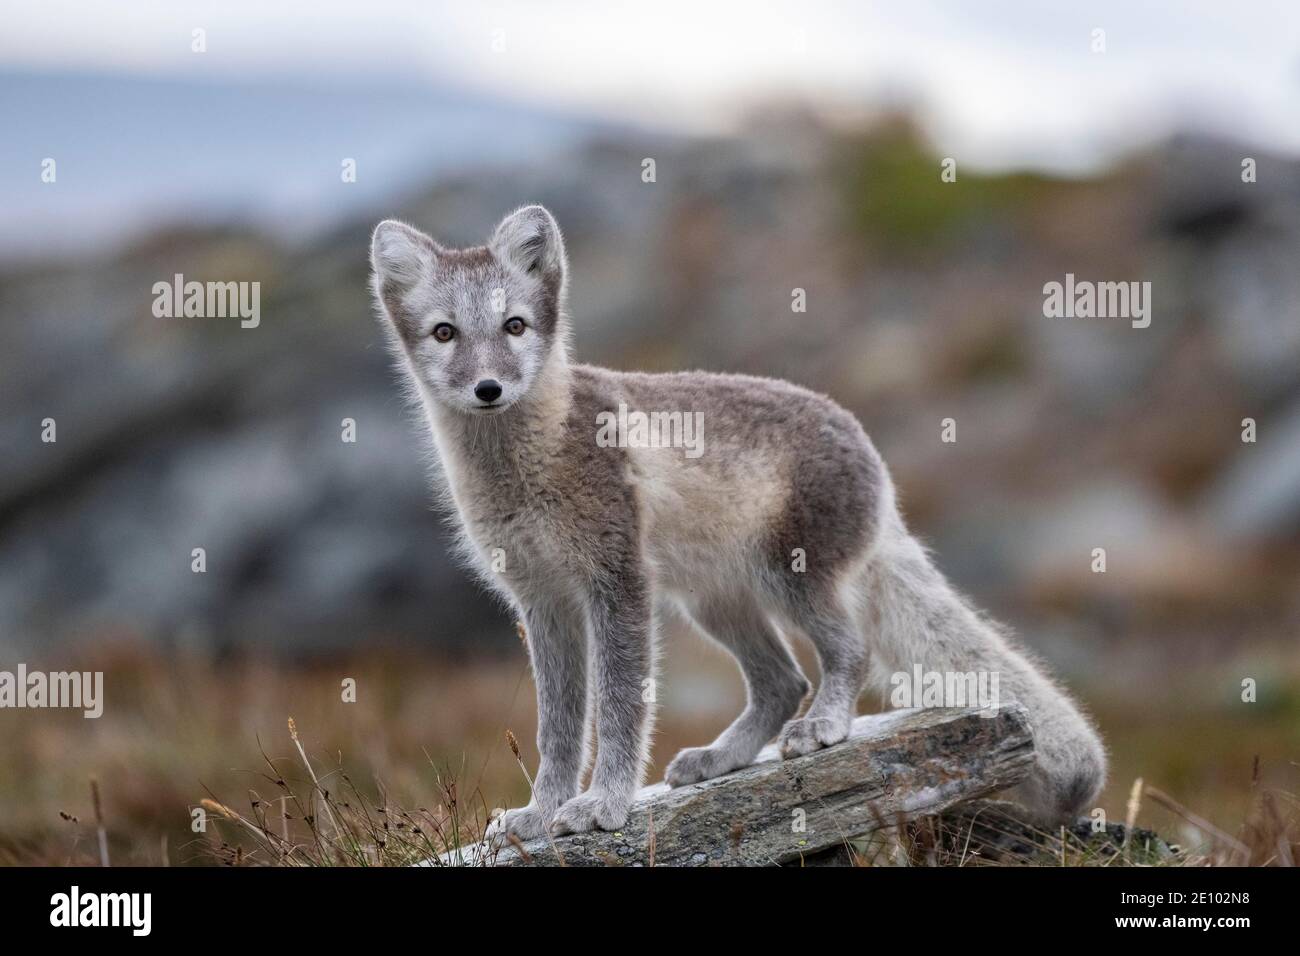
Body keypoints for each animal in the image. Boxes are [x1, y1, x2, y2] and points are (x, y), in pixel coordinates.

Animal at [369, 204, 1107, 840]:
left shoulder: (618, 582)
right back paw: (720, 758)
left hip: (790, 576)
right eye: (444, 333)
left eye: (516, 326)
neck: (528, 465)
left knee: (847, 652)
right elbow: (558, 728)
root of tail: (872, 453)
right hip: (714, 600)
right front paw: (538, 813)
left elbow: (620, 708)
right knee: (783, 681)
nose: (488, 389)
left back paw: (823, 726)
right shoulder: (541, 600)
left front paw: (603, 805)